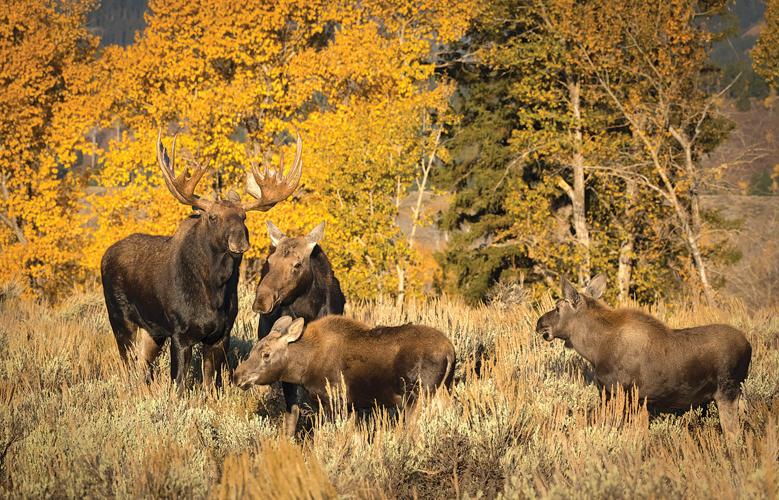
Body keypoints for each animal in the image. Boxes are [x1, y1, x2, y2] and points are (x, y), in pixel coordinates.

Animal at [101, 129, 302, 389]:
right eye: (213, 217)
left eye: (244, 216)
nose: (239, 241)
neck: (214, 291)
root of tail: (105, 256)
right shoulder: (180, 333)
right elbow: (179, 385)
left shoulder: (220, 335)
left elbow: (210, 383)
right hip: (120, 320)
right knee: (127, 363)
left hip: (153, 331)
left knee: (143, 365)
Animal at [234, 315, 455, 436]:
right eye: (253, 350)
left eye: (266, 354)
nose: (238, 376)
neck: (304, 367)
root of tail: (450, 352)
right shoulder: (351, 407)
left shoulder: (335, 401)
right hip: (442, 391)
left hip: (417, 397)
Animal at [536, 275, 752, 441]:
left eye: (558, 307)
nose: (539, 323)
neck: (594, 351)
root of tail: (748, 346)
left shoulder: (623, 393)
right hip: (739, 394)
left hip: (726, 391)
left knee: (733, 436)